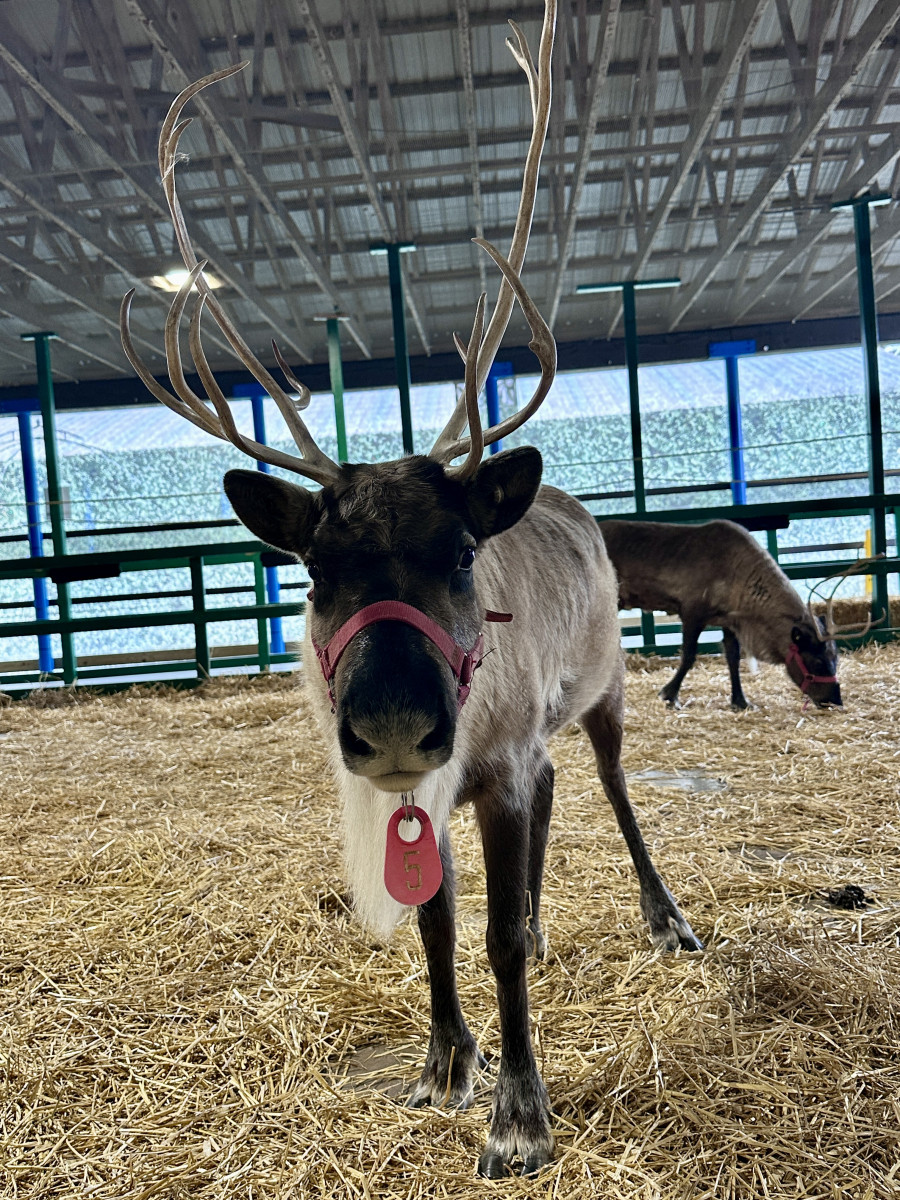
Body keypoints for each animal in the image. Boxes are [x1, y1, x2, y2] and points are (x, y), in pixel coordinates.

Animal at [119, 11, 701, 1177]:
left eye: (464, 552)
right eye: (311, 568)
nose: (392, 718)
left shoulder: (501, 765)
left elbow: (493, 937)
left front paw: (519, 1112)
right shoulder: (438, 790)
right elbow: (437, 926)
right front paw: (445, 1064)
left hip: (607, 688)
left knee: (612, 790)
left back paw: (663, 918)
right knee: (558, 801)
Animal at [598, 518, 852, 710]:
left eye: (835, 658)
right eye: (817, 662)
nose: (835, 700)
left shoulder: (729, 621)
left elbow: (732, 658)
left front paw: (740, 701)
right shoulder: (692, 612)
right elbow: (688, 656)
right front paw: (670, 694)